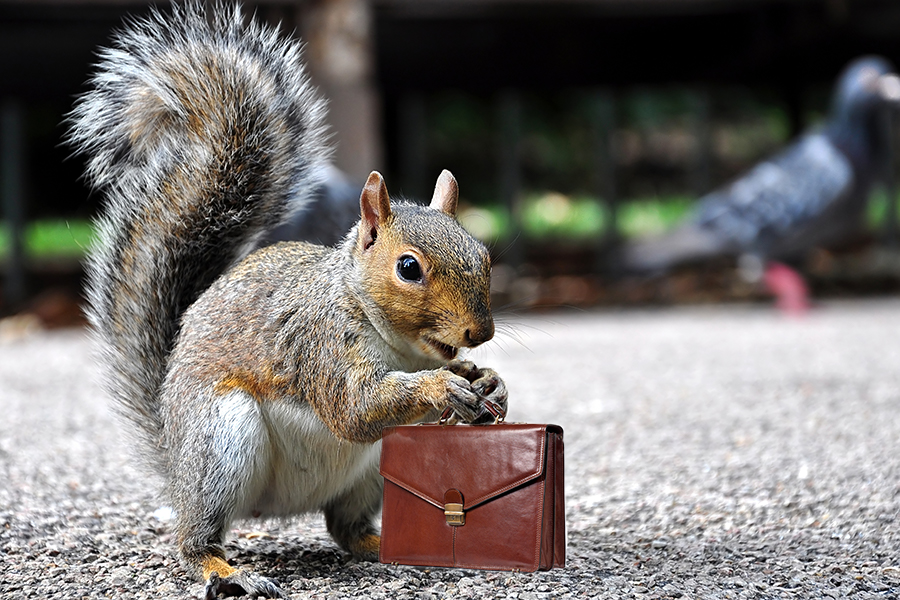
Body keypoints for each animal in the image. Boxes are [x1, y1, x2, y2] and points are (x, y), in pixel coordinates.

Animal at [68, 2, 508, 598]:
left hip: (375, 468)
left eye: (483, 254)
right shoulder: (318, 341)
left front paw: (488, 381)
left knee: (345, 527)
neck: (398, 346)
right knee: (196, 538)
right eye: (408, 268)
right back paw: (229, 572)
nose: (479, 333)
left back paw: (390, 547)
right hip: (221, 440)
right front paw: (442, 386)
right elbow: (355, 407)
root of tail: (175, 454)